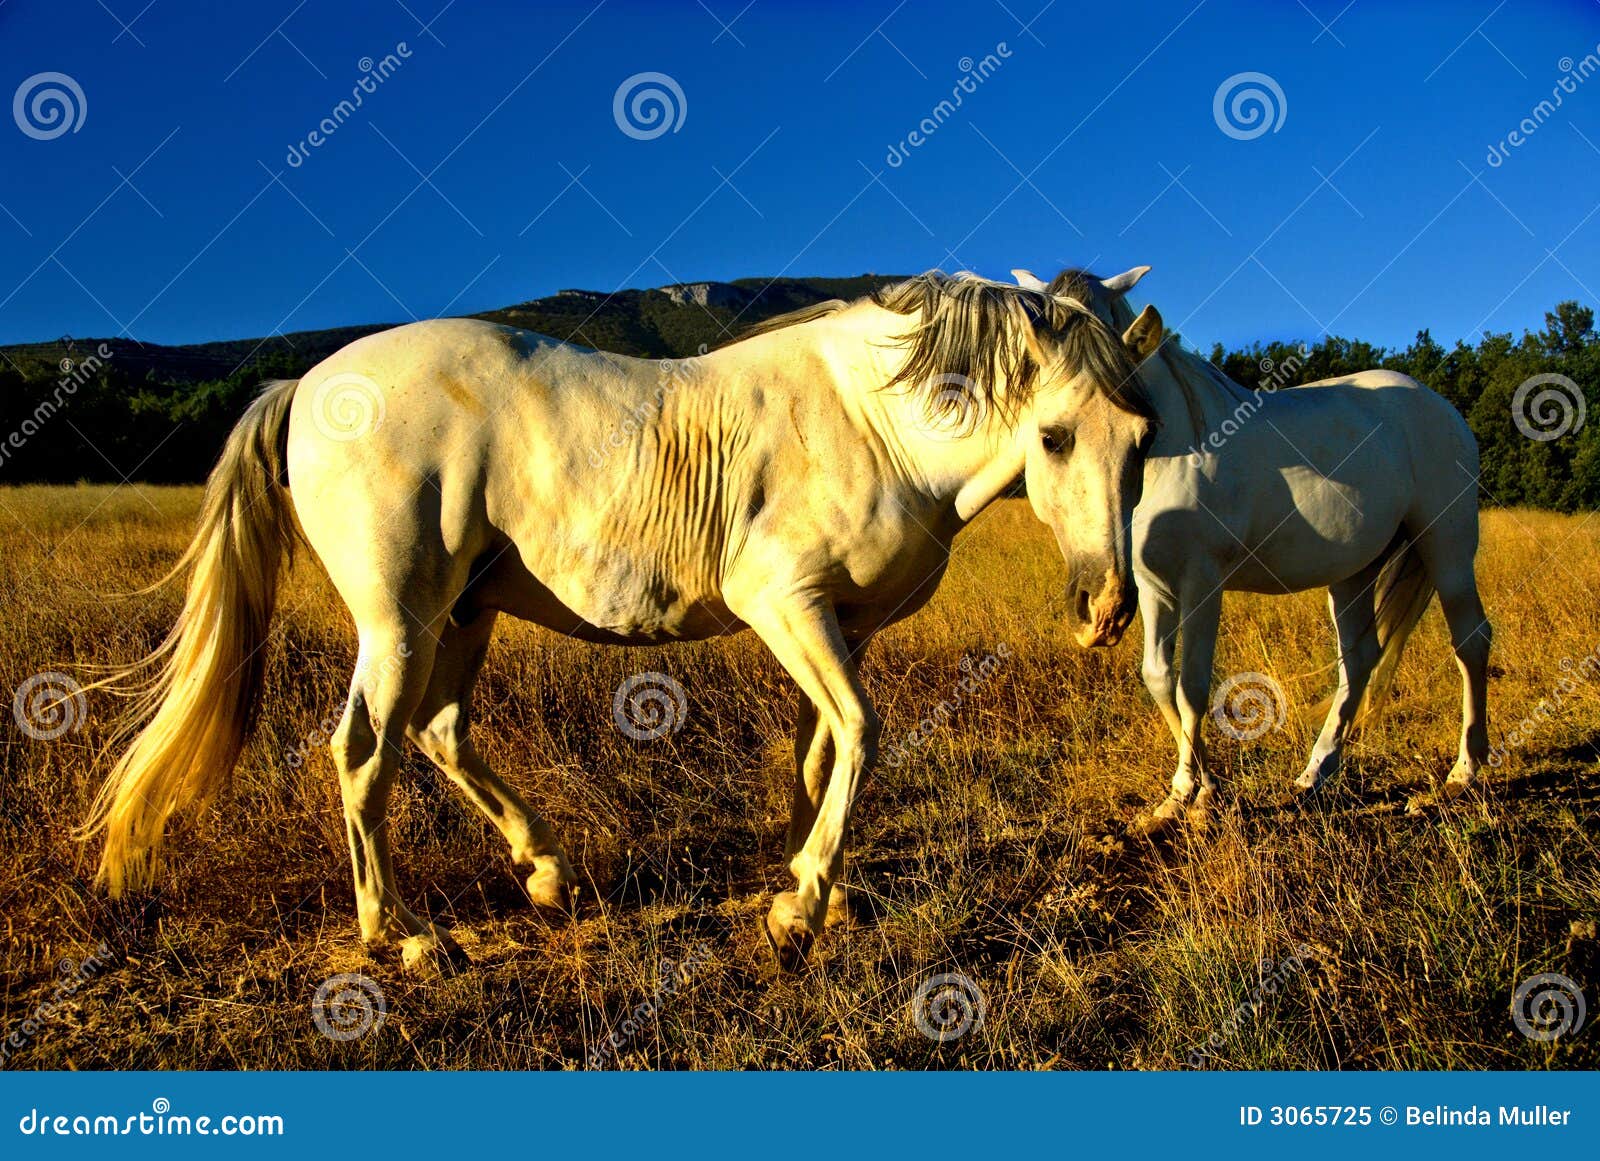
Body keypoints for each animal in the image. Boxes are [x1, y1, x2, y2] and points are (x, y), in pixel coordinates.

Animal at [84, 268, 1163, 973]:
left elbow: (820, 752)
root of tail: (305, 383)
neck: (874, 421)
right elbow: (862, 732)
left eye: (1142, 435)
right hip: (401, 620)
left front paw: (813, 882)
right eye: (1054, 435)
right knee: (363, 753)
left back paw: (545, 871)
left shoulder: (841, 625)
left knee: (437, 732)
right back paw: (406, 936)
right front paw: (799, 905)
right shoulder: (784, 603)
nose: (1105, 611)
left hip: (462, 615)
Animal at [1012, 267, 1491, 829]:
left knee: (1470, 642)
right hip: (1354, 571)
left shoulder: (1202, 584)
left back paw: (1464, 772)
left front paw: (1202, 796)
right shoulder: (1153, 589)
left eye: (1144, 433)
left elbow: (1192, 685)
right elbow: (1159, 678)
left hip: (1448, 547)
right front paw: (1182, 792)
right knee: (1359, 659)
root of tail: (1440, 406)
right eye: (1051, 437)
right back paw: (1317, 772)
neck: (1179, 454)